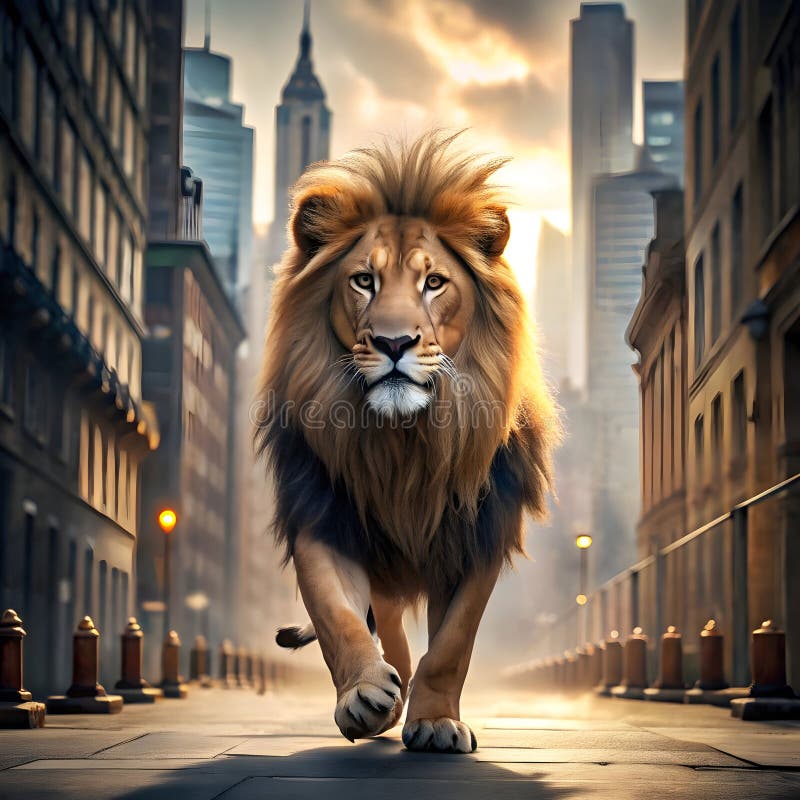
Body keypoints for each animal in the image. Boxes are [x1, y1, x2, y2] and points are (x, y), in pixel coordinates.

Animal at [256, 131, 557, 753]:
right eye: (363, 280)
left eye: (433, 282)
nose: (394, 342)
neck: (406, 444)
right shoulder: (323, 515)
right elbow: (337, 617)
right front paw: (365, 696)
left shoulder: (476, 535)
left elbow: (453, 643)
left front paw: (437, 722)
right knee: (387, 625)